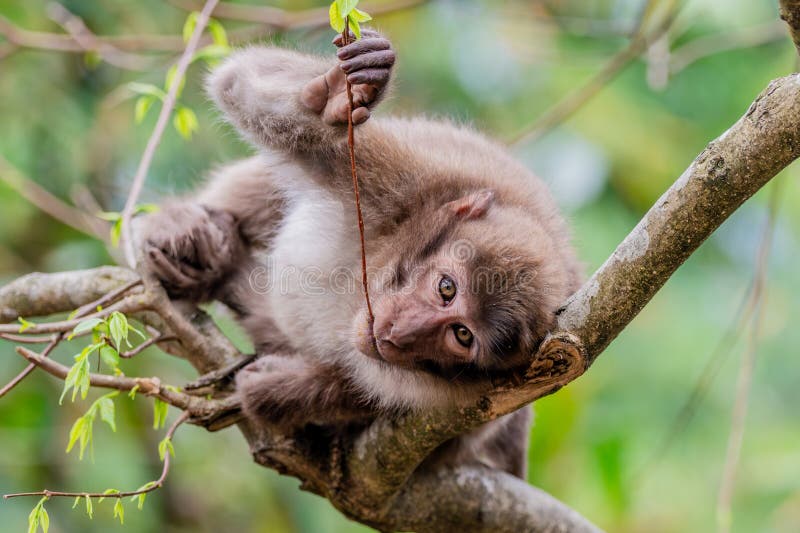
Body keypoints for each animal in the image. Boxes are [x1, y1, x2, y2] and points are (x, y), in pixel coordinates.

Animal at [138, 30, 581, 479]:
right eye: (446, 288)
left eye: (461, 335)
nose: (400, 332)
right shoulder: (407, 180)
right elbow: (239, 84)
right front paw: (332, 97)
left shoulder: (474, 400)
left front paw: (282, 391)